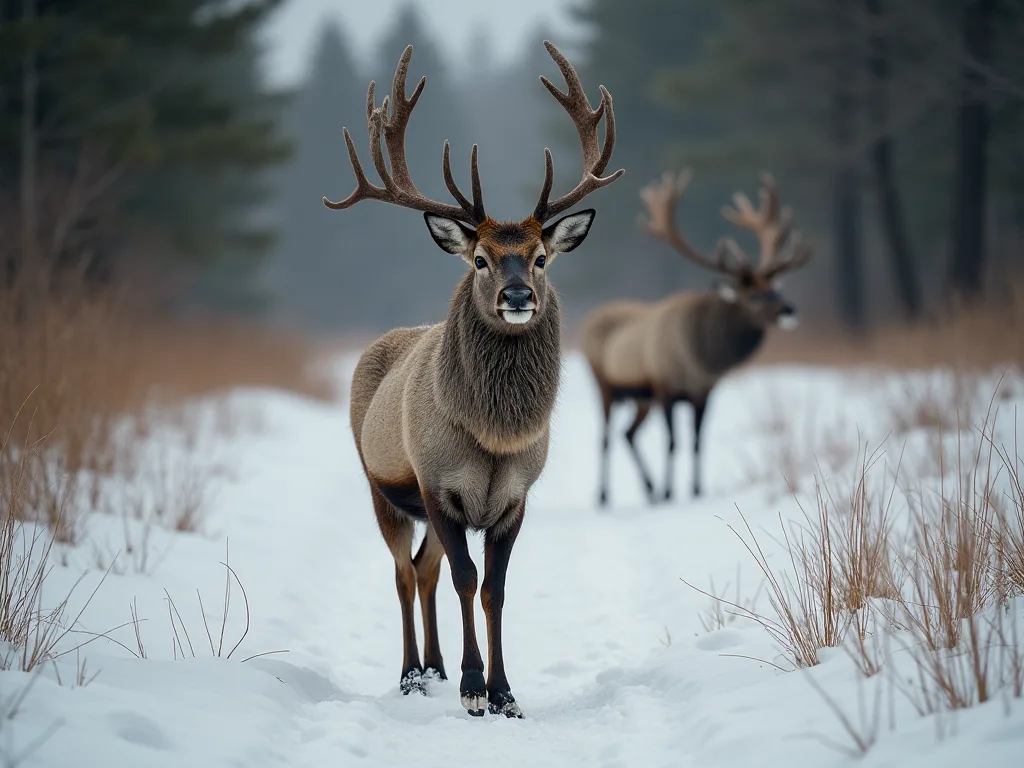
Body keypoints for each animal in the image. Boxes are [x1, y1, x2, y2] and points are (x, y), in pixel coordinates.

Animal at [325, 42, 622, 718]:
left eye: (541, 258)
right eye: (481, 259)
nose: (517, 296)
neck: (492, 439)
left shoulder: (514, 496)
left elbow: (494, 590)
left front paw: (505, 692)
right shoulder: (438, 486)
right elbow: (466, 580)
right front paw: (471, 687)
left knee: (424, 568)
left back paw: (432, 667)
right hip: (382, 485)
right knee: (404, 571)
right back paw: (413, 673)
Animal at [580, 169, 811, 508]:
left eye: (774, 287)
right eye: (754, 295)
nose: (790, 310)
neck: (701, 356)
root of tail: (592, 318)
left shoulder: (704, 392)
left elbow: (698, 441)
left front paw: (695, 491)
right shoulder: (665, 388)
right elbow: (673, 442)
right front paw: (669, 493)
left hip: (640, 398)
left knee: (628, 433)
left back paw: (647, 489)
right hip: (604, 383)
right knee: (606, 436)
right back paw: (604, 495)